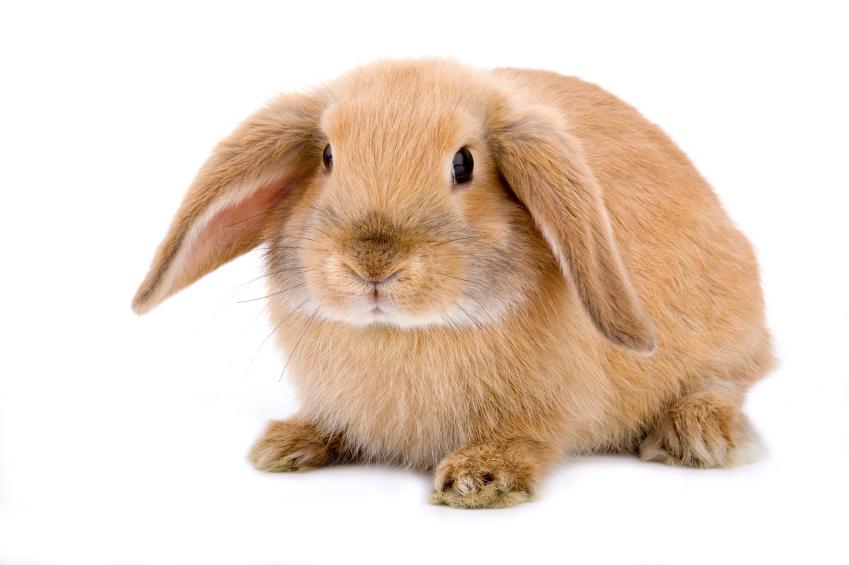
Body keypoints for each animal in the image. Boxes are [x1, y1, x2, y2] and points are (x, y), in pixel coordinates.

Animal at [132, 58, 773, 509]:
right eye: (327, 156)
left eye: (463, 164)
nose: (373, 265)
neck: (403, 332)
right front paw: (288, 445)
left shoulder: (553, 408)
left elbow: (531, 438)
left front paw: (480, 479)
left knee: (730, 380)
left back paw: (698, 437)